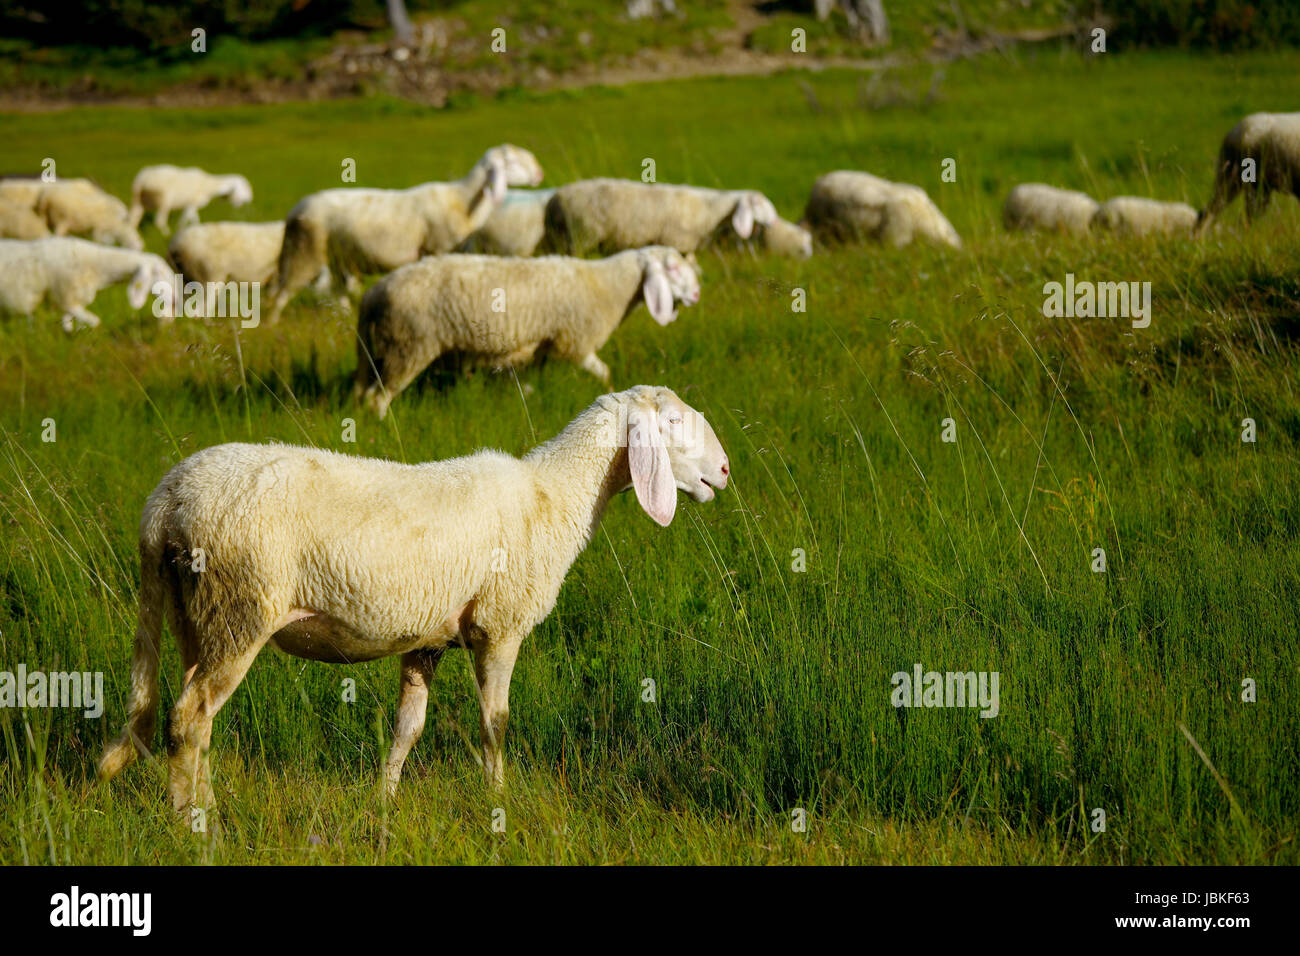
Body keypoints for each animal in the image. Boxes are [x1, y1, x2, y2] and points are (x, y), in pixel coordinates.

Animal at [0, 236, 176, 330]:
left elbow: (69, 325)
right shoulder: (65, 296)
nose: (175, 298)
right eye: (158, 273)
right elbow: (95, 322)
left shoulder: (71, 301)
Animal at [97, 384, 731, 810]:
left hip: (194, 612)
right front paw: (499, 804)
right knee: (189, 717)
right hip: (240, 606)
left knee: (193, 716)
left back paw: (200, 802)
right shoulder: (499, 626)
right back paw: (194, 823)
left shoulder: (427, 640)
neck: (554, 495)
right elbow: (495, 723)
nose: (725, 470)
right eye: (674, 420)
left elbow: (408, 728)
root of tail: (165, 501)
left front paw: (385, 802)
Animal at [270, 144, 544, 323]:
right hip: (305, 250)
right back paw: (271, 325)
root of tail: (295, 209)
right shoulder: (436, 248)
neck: (463, 200)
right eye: (513, 163)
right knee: (282, 292)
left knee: (338, 292)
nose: (540, 173)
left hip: (338, 257)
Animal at [356, 246, 701, 419]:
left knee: (362, 394)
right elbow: (604, 372)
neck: (609, 286)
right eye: (671, 269)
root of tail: (373, 293)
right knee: (377, 399)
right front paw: (615, 393)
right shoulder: (574, 343)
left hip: (381, 350)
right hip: (407, 346)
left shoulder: (544, 350)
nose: (697, 295)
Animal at [541, 179, 784, 256]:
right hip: (580, 237)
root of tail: (555, 199)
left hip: (558, 237)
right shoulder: (676, 242)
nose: (774, 222)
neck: (710, 211)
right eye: (759, 204)